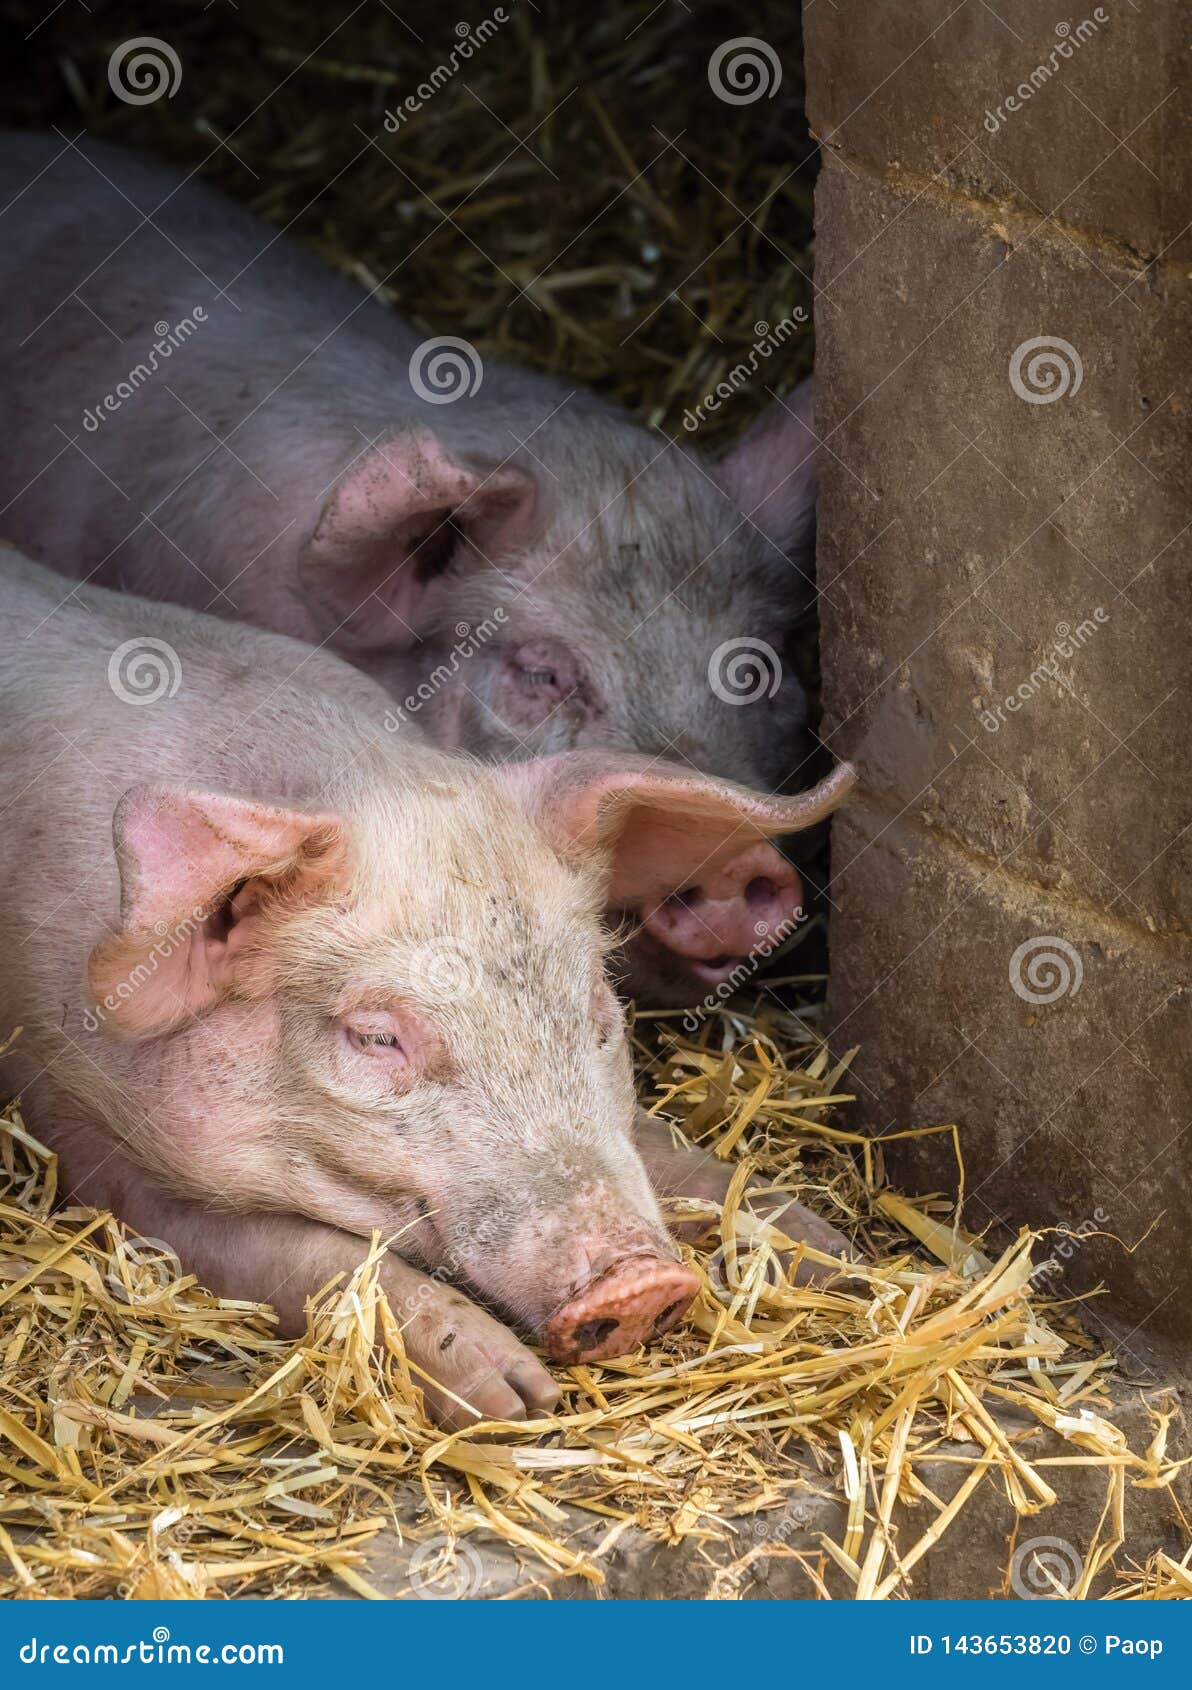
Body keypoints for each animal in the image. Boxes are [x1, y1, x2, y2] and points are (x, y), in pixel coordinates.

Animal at [0, 550, 855, 1426]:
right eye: (377, 1037)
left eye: (592, 1008)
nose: (641, 1283)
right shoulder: (83, 1134)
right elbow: (316, 1258)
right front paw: (515, 1399)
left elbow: (655, 1144)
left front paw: (831, 1250)